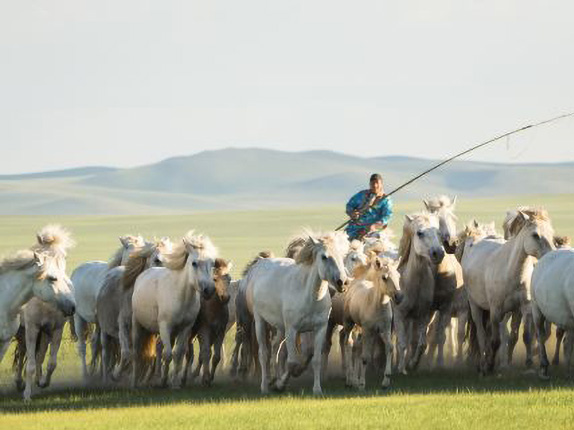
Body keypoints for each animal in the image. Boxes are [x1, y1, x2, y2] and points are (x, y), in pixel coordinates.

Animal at [0, 225, 75, 400]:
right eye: (53, 278)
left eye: (64, 257)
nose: (72, 306)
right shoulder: (31, 328)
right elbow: (31, 364)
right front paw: (27, 394)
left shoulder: (56, 329)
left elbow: (50, 362)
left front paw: (41, 383)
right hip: (25, 332)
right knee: (24, 354)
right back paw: (21, 383)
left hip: (43, 333)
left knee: (37, 355)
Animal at [132, 232, 217, 390]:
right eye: (194, 263)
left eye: (212, 263)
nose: (209, 290)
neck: (181, 296)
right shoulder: (165, 326)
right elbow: (168, 354)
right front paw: (164, 381)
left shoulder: (185, 328)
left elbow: (178, 354)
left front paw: (175, 383)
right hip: (137, 325)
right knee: (136, 351)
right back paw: (134, 383)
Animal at [245, 230, 348, 394]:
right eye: (324, 257)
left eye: (341, 255)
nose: (342, 282)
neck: (310, 296)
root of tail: (260, 263)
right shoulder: (292, 330)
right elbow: (292, 362)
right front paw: (282, 384)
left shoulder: (320, 328)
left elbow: (316, 360)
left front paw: (317, 389)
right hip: (260, 321)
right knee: (264, 353)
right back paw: (265, 386)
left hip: (281, 327)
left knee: (276, 349)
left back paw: (274, 379)